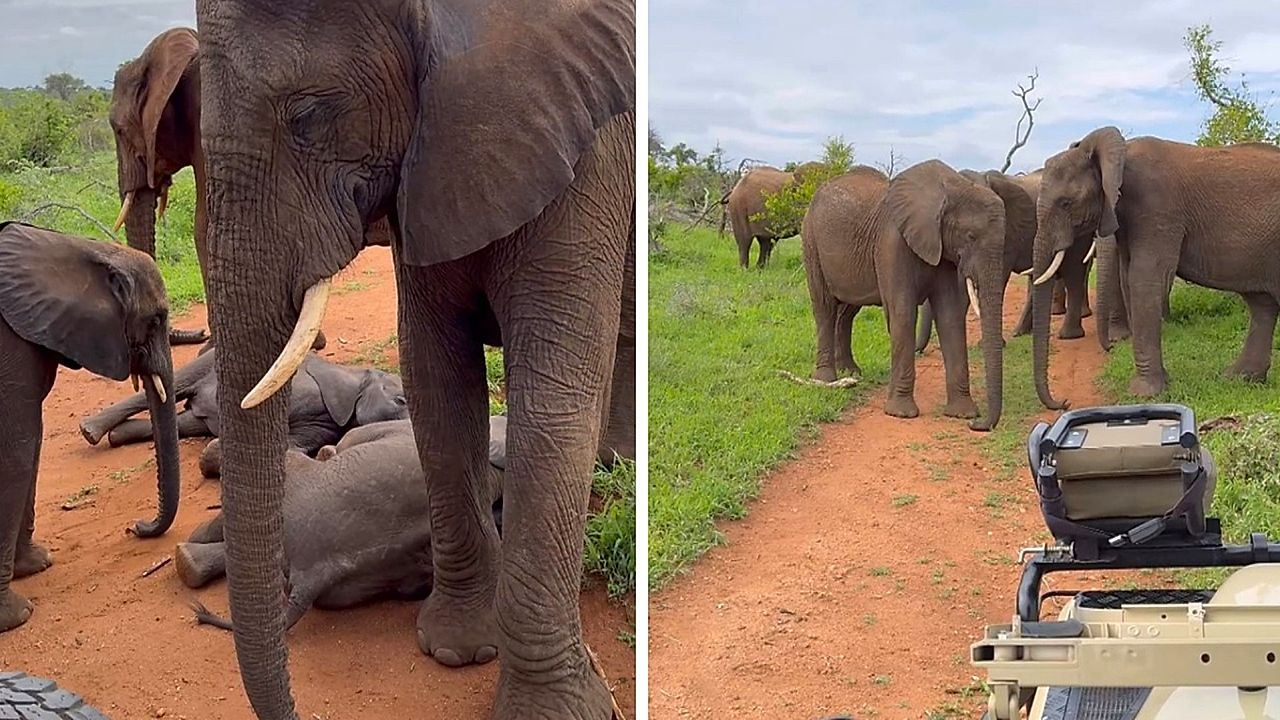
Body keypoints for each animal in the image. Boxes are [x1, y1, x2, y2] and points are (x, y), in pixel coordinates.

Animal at [0, 222, 180, 634]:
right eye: (156, 320)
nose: (137, 526)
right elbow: (17, 453)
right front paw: (16, 618)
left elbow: (33, 445)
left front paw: (37, 565)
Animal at [78, 349, 408, 456]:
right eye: (401, 400)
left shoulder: (323, 425)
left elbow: (292, 444)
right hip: (209, 360)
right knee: (175, 385)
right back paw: (89, 431)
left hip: (199, 419)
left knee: (184, 422)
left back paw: (116, 437)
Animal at [801, 160, 1035, 430]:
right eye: (970, 236)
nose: (978, 425)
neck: (949, 187)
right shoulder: (892, 242)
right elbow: (903, 312)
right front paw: (900, 413)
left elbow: (950, 315)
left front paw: (962, 413)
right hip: (811, 239)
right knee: (825, 307)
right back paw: (826, 379)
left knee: (848, 310)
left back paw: (850, 372)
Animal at [1030, 127, 1280, 405]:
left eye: (1066, 203)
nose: (1063, 403)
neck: (1120, 154)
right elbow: (1128, 277)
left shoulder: (1157, 207)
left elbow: (1145, 278)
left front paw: (1145, 393)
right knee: (1262, 304)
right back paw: (1239, 378)